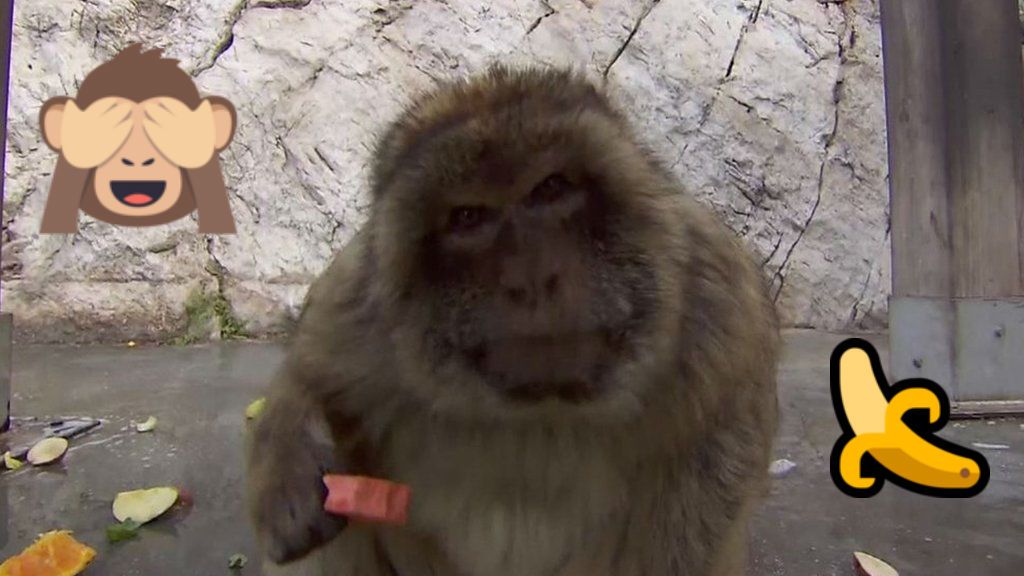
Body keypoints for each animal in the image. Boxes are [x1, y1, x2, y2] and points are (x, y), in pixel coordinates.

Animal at [246, 65, 781, 576]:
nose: (532, 279)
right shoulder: (357, 314)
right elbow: (307, 372)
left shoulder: (719, 311)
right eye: (468, 217)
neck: (541, 411)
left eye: (551, 188)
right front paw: (289, 473)